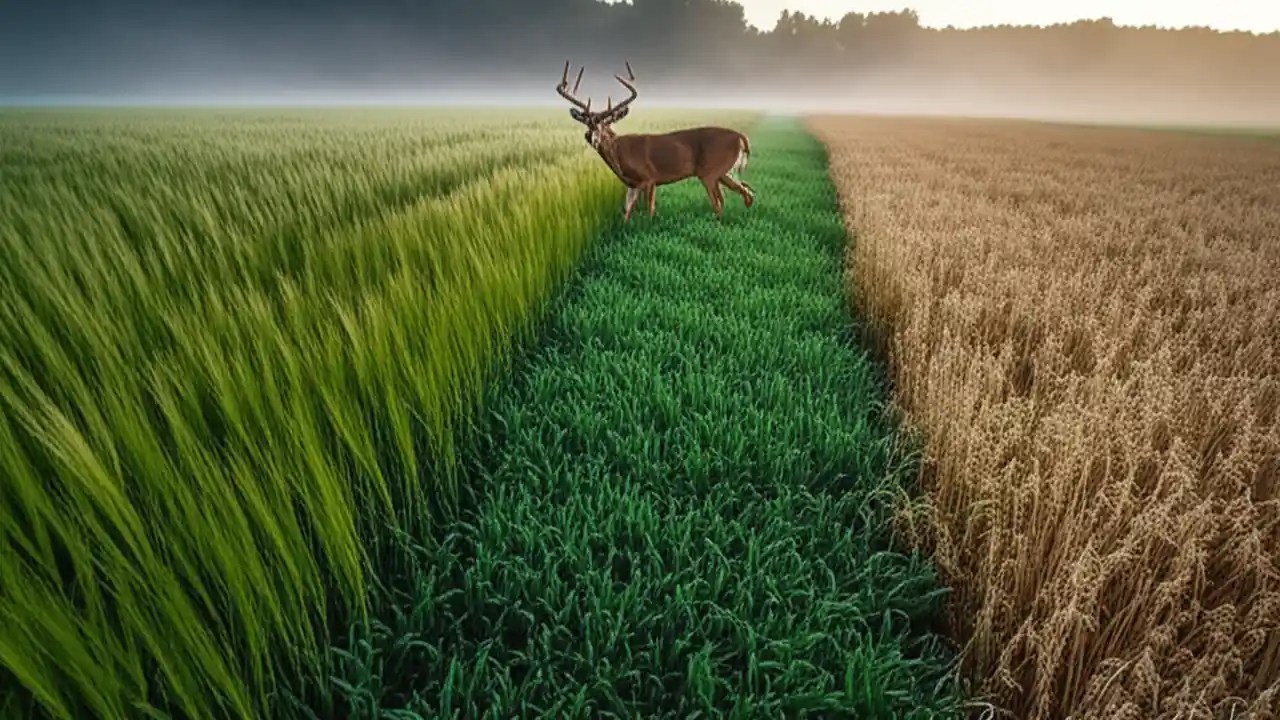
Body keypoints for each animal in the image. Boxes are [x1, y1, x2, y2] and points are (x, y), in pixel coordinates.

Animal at [556, 60, 755, 222]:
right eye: (587, 124)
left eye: (606, 124)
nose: (593, 138)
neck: (619, 152)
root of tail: (741, 137)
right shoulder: (632, 185)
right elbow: (626, 213)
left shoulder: (649, 177)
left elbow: (650, 211)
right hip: (721, 172)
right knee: (746, 192)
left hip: (709, 173)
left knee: (720, 201)